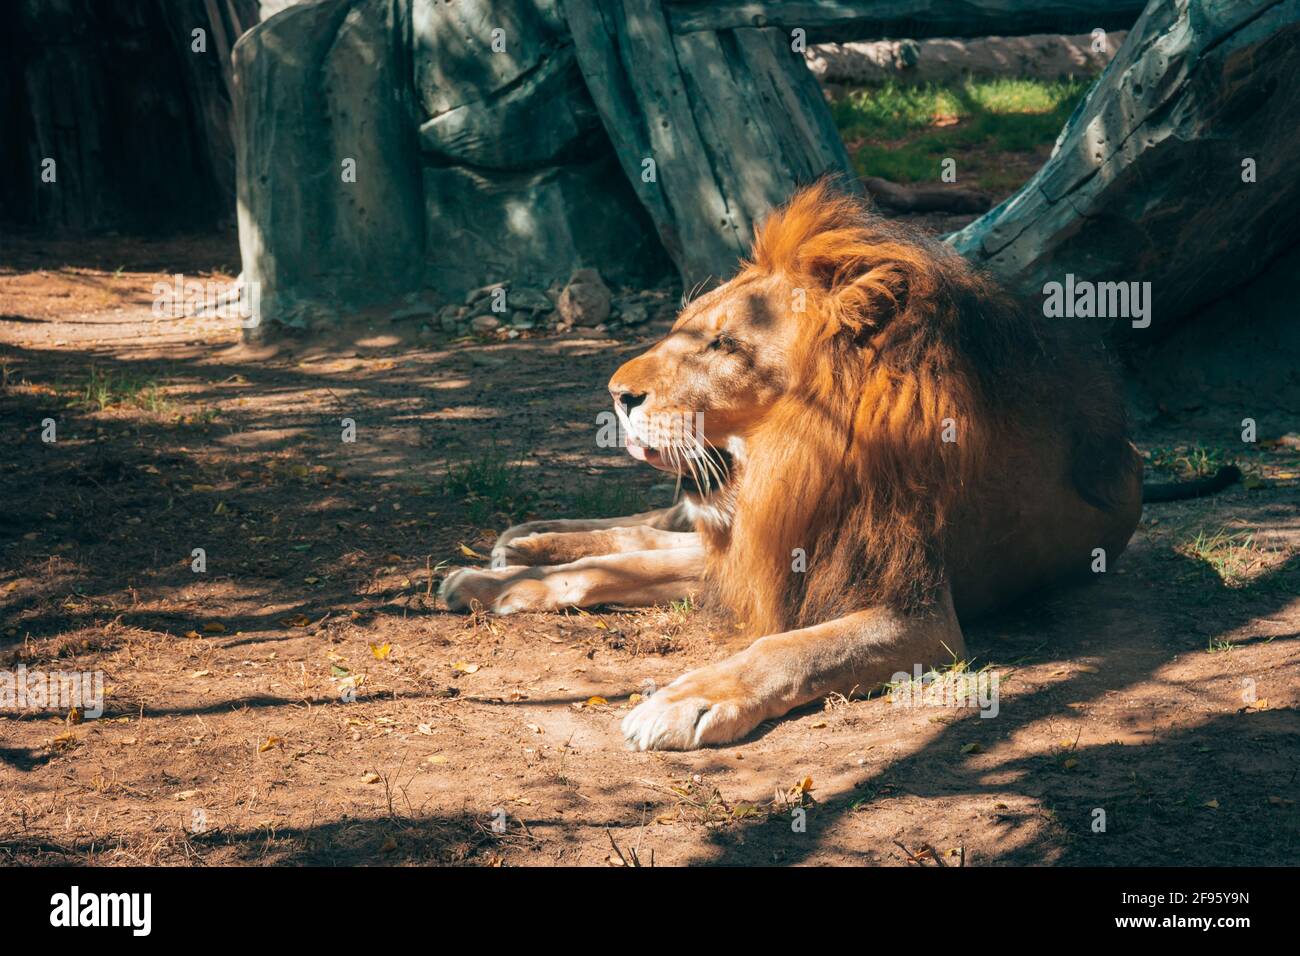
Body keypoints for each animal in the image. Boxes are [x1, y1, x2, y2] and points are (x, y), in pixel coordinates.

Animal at [441, 181, 1149, 751]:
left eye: (726, 345)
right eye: (684, 328)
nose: (617, 393)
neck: (798, 468)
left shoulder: (918, 618)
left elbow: (782, 646)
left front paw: (685, 700)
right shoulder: (766, 552)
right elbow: (619, 567)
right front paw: (503, 581)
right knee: (646, 531)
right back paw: (511, 556)